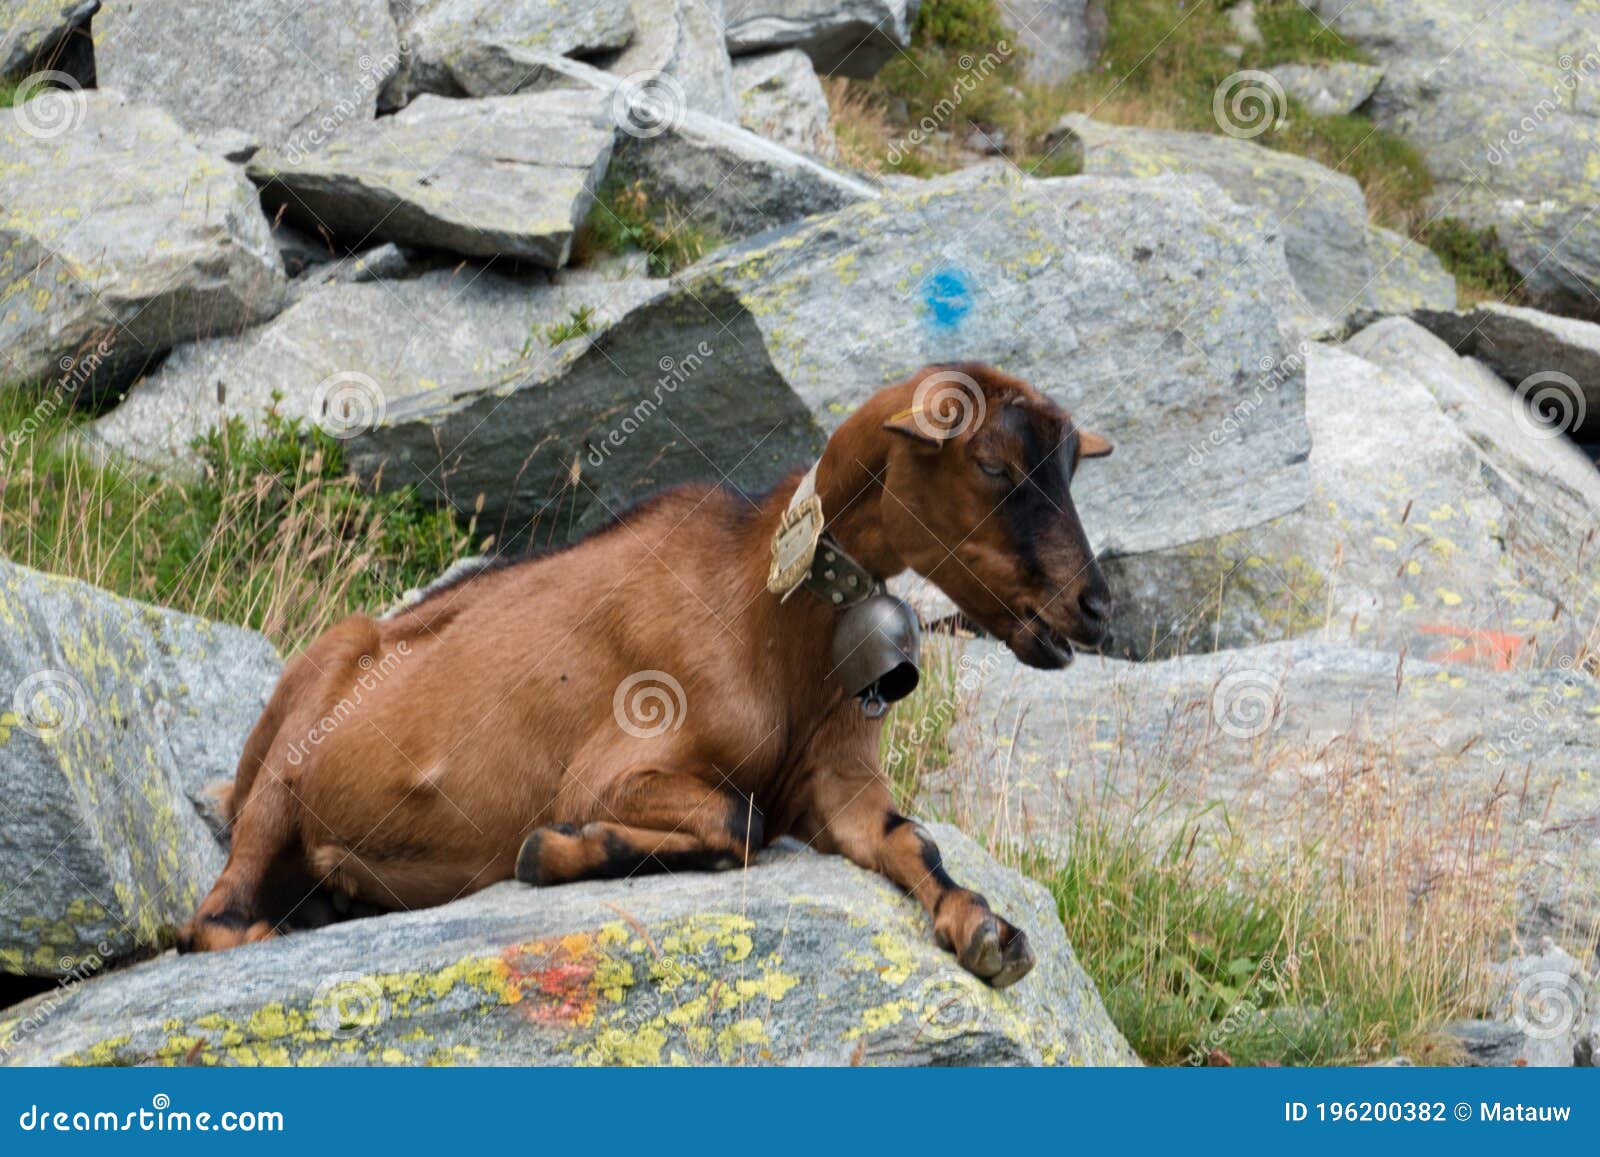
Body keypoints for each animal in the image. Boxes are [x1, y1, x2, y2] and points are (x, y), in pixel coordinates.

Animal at [179, 363, 1114, 988]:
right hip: (285, 762)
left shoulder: (841, 779)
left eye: (1068, 468)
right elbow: (738, 820)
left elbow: (908, 837)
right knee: (210, 922)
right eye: (992, 464)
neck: (761, 604)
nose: (1095, 606)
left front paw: (987, 927)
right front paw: (556, 848)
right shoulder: (611, 768)